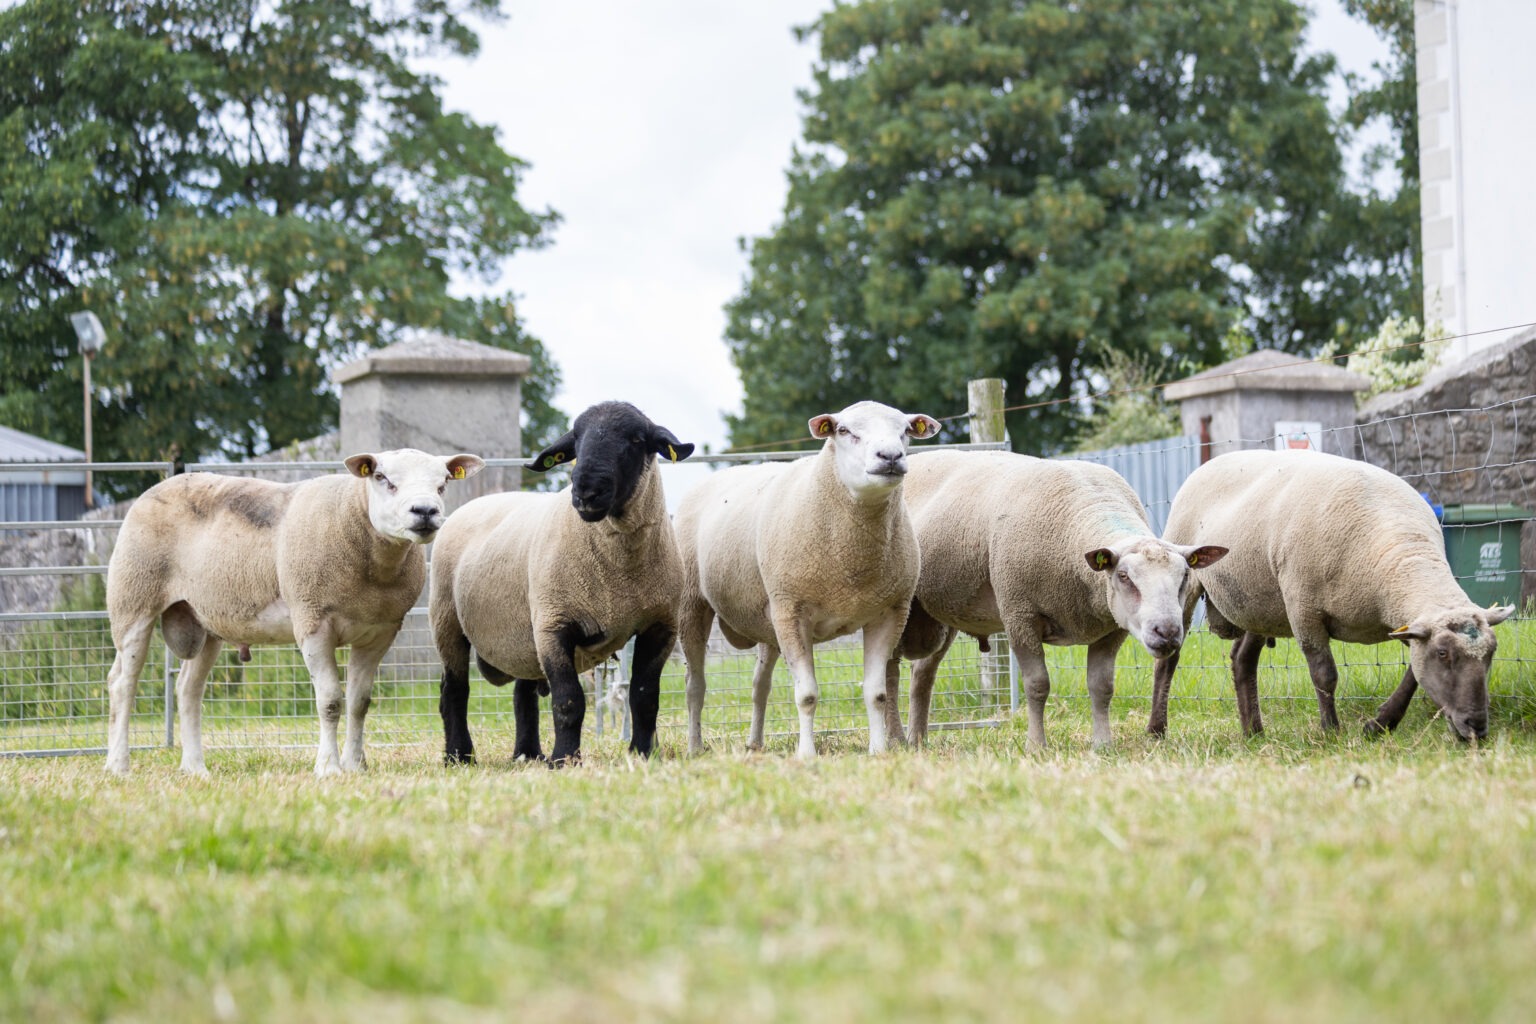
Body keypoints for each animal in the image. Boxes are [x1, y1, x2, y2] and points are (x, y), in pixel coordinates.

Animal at [104, 448, 485, 776]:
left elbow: (359, 702)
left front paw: (355, 766)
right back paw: (118, 765)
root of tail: (160, 486)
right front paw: (328, 768)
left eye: (443, 483)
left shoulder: (379, 632)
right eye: (382, 478)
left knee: (187, 690)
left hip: (205, 618)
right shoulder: (313, 621)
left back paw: (196, 768)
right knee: (122, 683)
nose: (425, 511)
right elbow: (330, 701)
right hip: (133, 599)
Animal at [430, 401, 693, 766]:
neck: (619, 574)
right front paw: (565, 759)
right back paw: (459, 755)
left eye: (637, 439)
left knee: (522, 693)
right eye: (576, 441)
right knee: (454, 691)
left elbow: (644, 697)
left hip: (521, 633)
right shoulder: (554, 624)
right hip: (447, 619)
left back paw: (527, 754)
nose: (586, 492)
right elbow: (568, 701)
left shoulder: (660, 625)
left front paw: (642, 753)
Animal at [674, 400, 941, 759]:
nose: (890, 456)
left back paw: (755, 743)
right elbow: (807, 694)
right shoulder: (793, 612)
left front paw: (878, 750)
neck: (851, 566)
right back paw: (694, 746)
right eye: (844, 430)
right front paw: (806, 754)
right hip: (694, 604)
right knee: (695, 685)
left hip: (769, 617)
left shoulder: (888, 613)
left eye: (904, 431)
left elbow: (877, 693)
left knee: (760, 685)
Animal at [883, 449, 1228, 750]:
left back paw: (918, 740)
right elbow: (1038, 685)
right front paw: (1036, 746)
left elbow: (1102, 687)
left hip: (944, 613)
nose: (1167, 632)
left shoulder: (1112, 627)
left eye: (1184, 576)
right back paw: (896, 741)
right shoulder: (1020, 614)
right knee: (890, 671)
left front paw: (1103, 744)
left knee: (922, 674)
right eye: (1124, 576)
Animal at [1154, 448, 1516, 740]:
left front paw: (1380, 725)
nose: (1477, 728)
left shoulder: (1404, 621)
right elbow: (1324, 674)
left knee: (1242, 660)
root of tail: (1213, 459)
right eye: (1444, 654)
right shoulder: (1304, 609)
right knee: (1169, 659)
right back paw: (1157, 730)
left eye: (1491, 654)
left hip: (1260, 602)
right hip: (1191, 584)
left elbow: (1413, 675)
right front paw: (1332, 732)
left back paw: (1254, 732)